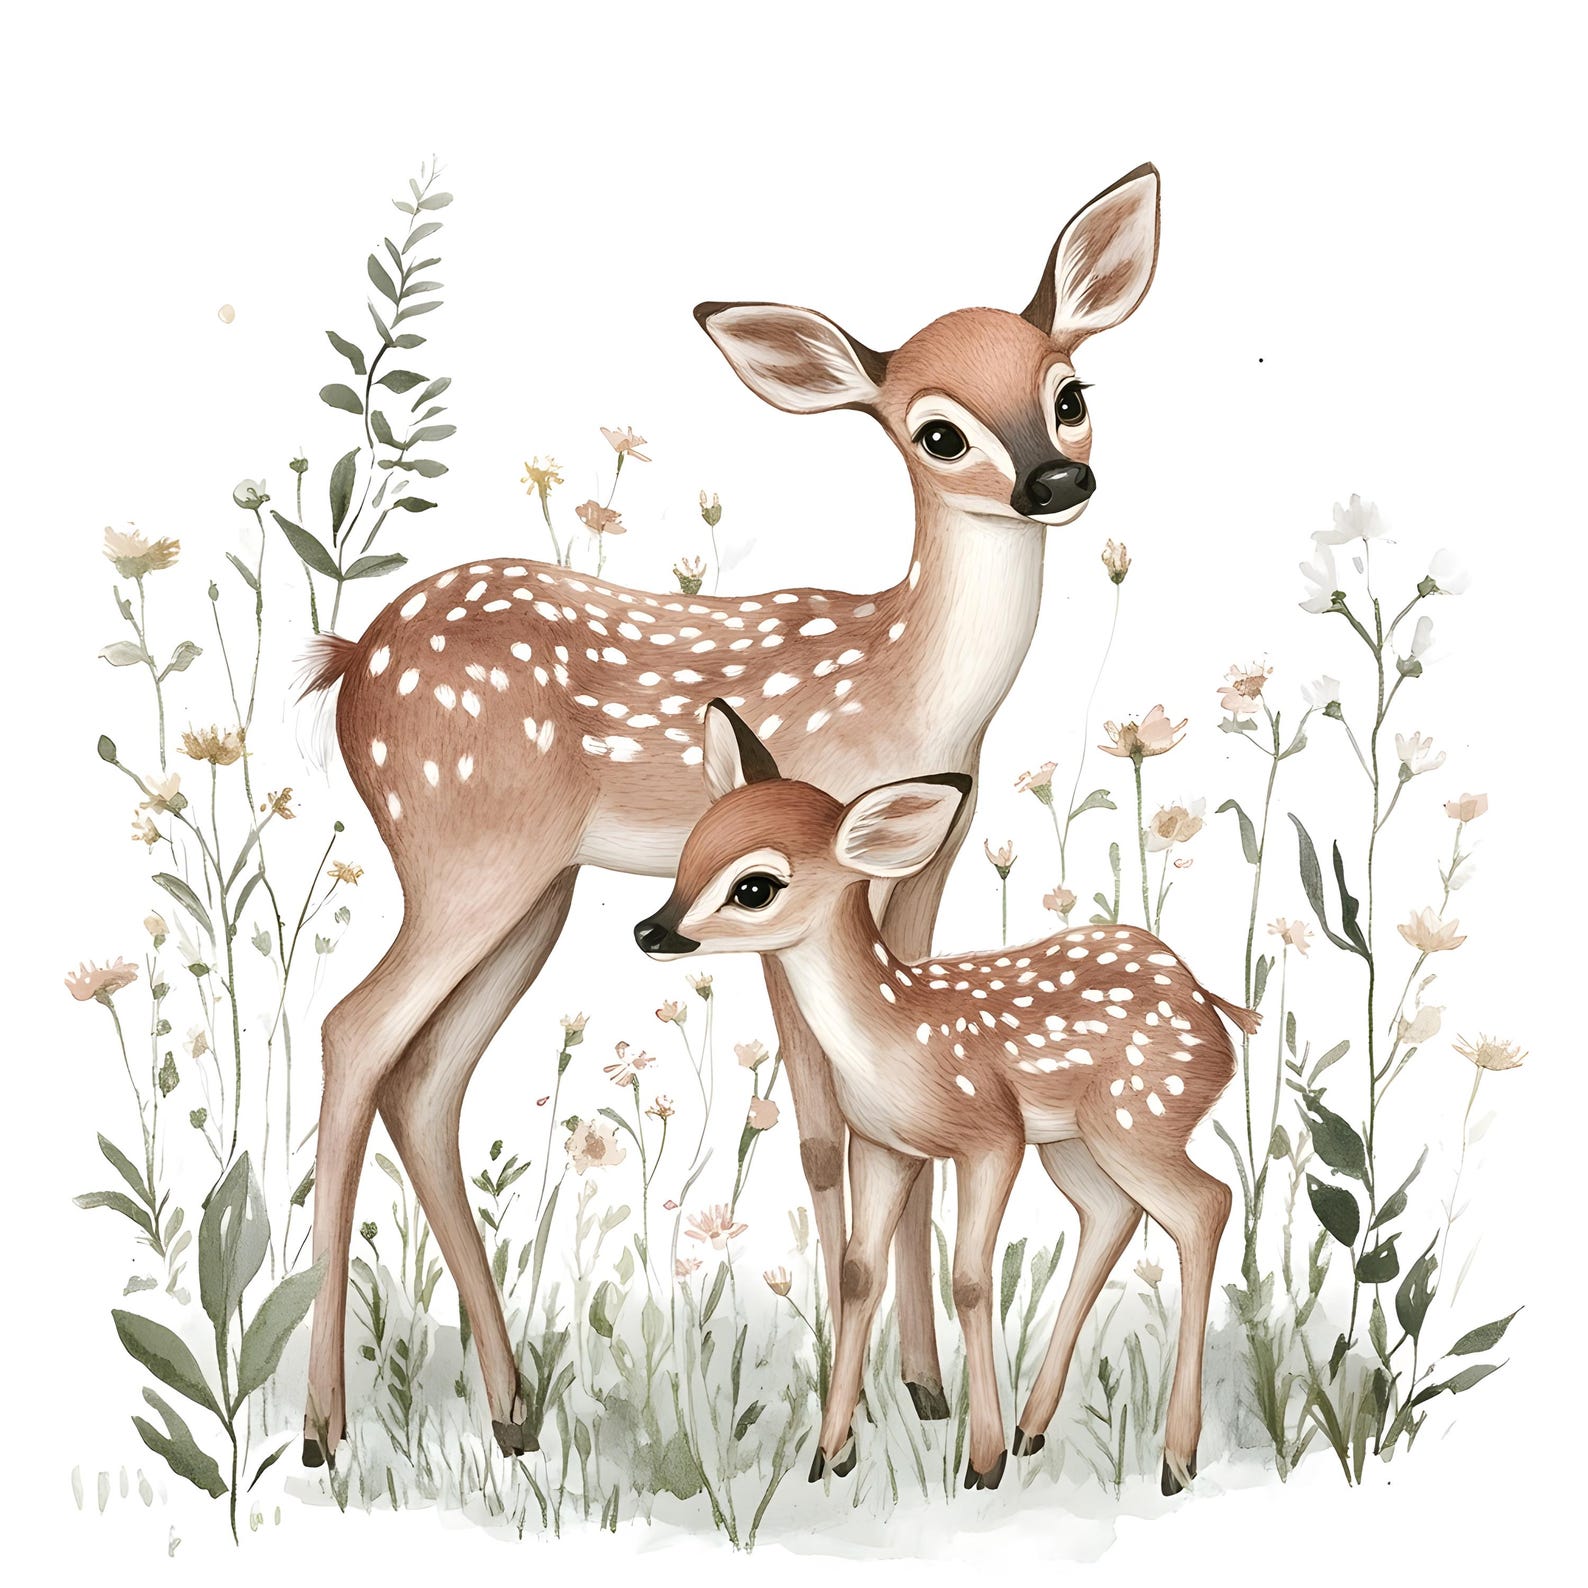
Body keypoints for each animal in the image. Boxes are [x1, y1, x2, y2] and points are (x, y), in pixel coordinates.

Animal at [295, 165, 1162, 1468]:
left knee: (427, 1079)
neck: (910, 687)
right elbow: (820, 1135)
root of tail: (352, 658)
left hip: (530, 890)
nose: (1055, 483)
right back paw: (323, 1426)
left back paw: (510, 1410)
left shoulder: (918, 874)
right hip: (464, 853)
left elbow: (904, 1125)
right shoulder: (797, 877)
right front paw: (850, 1422)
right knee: (354, 1034)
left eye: (1069, 393)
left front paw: (923, 1391)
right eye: (936, 431)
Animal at [636, 702, 1255, 1494]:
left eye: (754, 887)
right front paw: (829, 1455)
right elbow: (859, 1274)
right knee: (1112, 1216)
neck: (894, 1035)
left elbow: (968, 1279)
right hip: (1076, 1144)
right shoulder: (882, 1144)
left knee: (1205, 1207)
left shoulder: (991, 1135)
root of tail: (1213, 1009)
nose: (650, 930)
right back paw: (1034, 1428)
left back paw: (1173, 1457)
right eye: (690, 849)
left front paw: (979, 1460)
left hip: (1138, 1116)